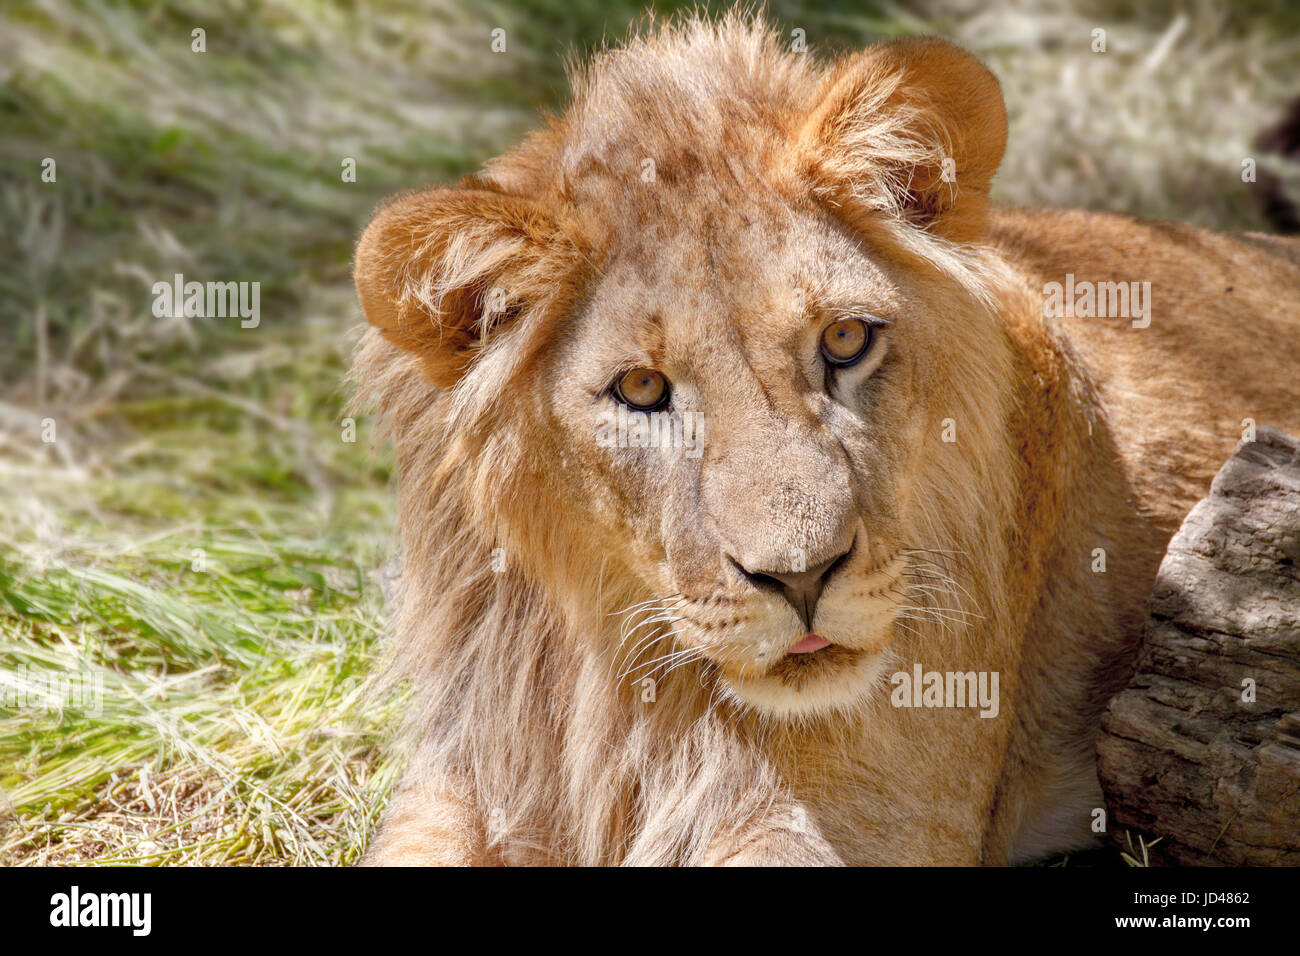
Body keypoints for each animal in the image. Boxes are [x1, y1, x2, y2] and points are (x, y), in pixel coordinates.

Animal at [349, 12, 1300, 865]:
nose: (802, 579)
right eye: (642, 389)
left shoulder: (860, 809)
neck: (621, 678)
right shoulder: (463, 779)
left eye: (845, 340)